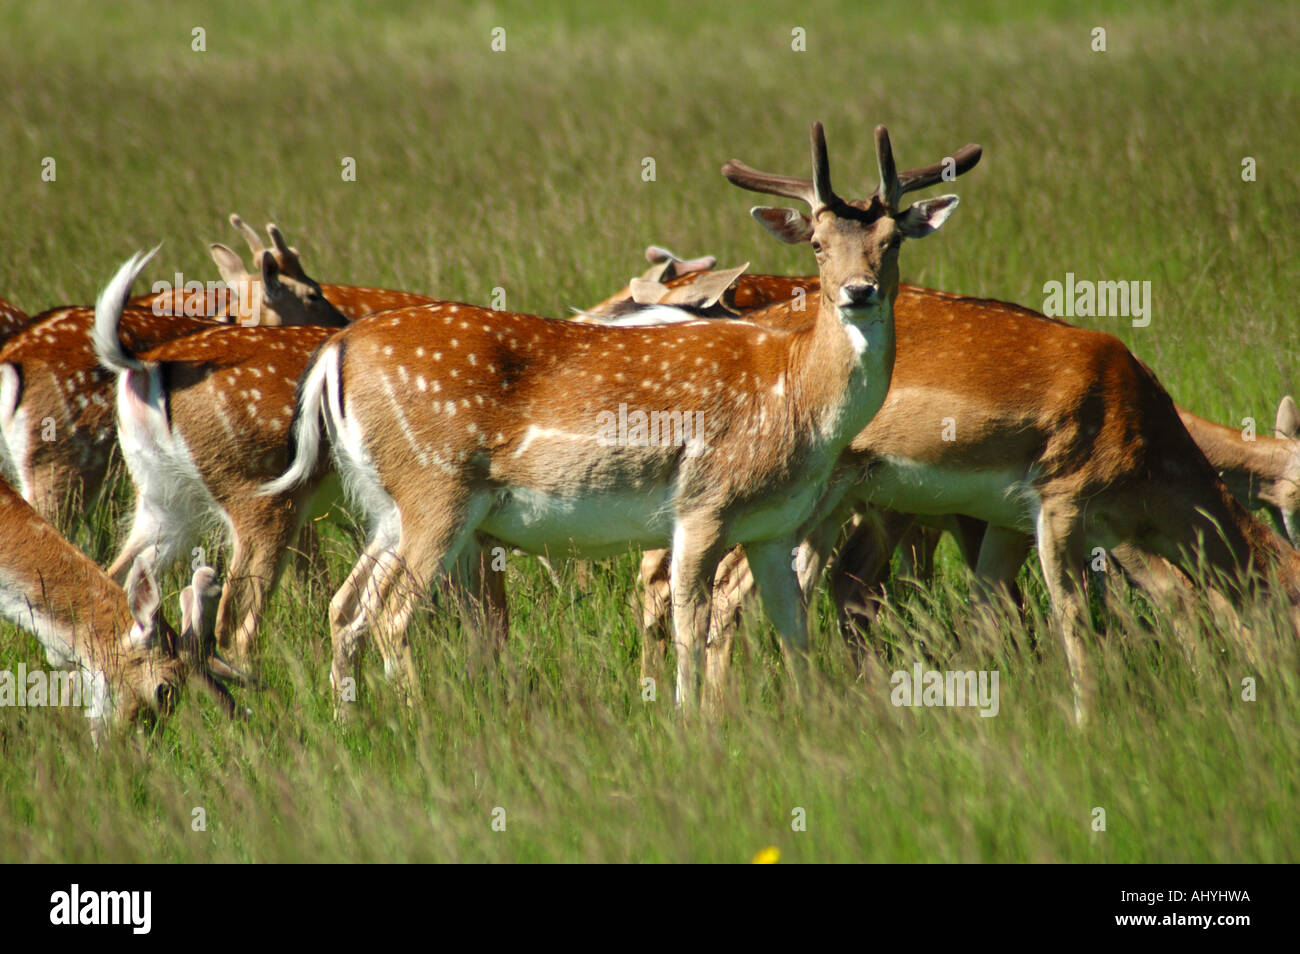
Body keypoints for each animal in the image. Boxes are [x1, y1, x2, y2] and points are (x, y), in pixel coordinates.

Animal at [259, 122, 977, 717]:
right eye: (820, 245)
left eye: (891, 241)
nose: (859, 292)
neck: (796, 395)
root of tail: (335, 352)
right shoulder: (703, 504)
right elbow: (690, 625)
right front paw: (691, 723)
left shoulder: (773, 526)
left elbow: (792, 629)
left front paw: (809, 715)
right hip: (436, 489)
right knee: (392, 617)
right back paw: (419, 723)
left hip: (388, 503)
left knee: (345, 608)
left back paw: (350, 722)